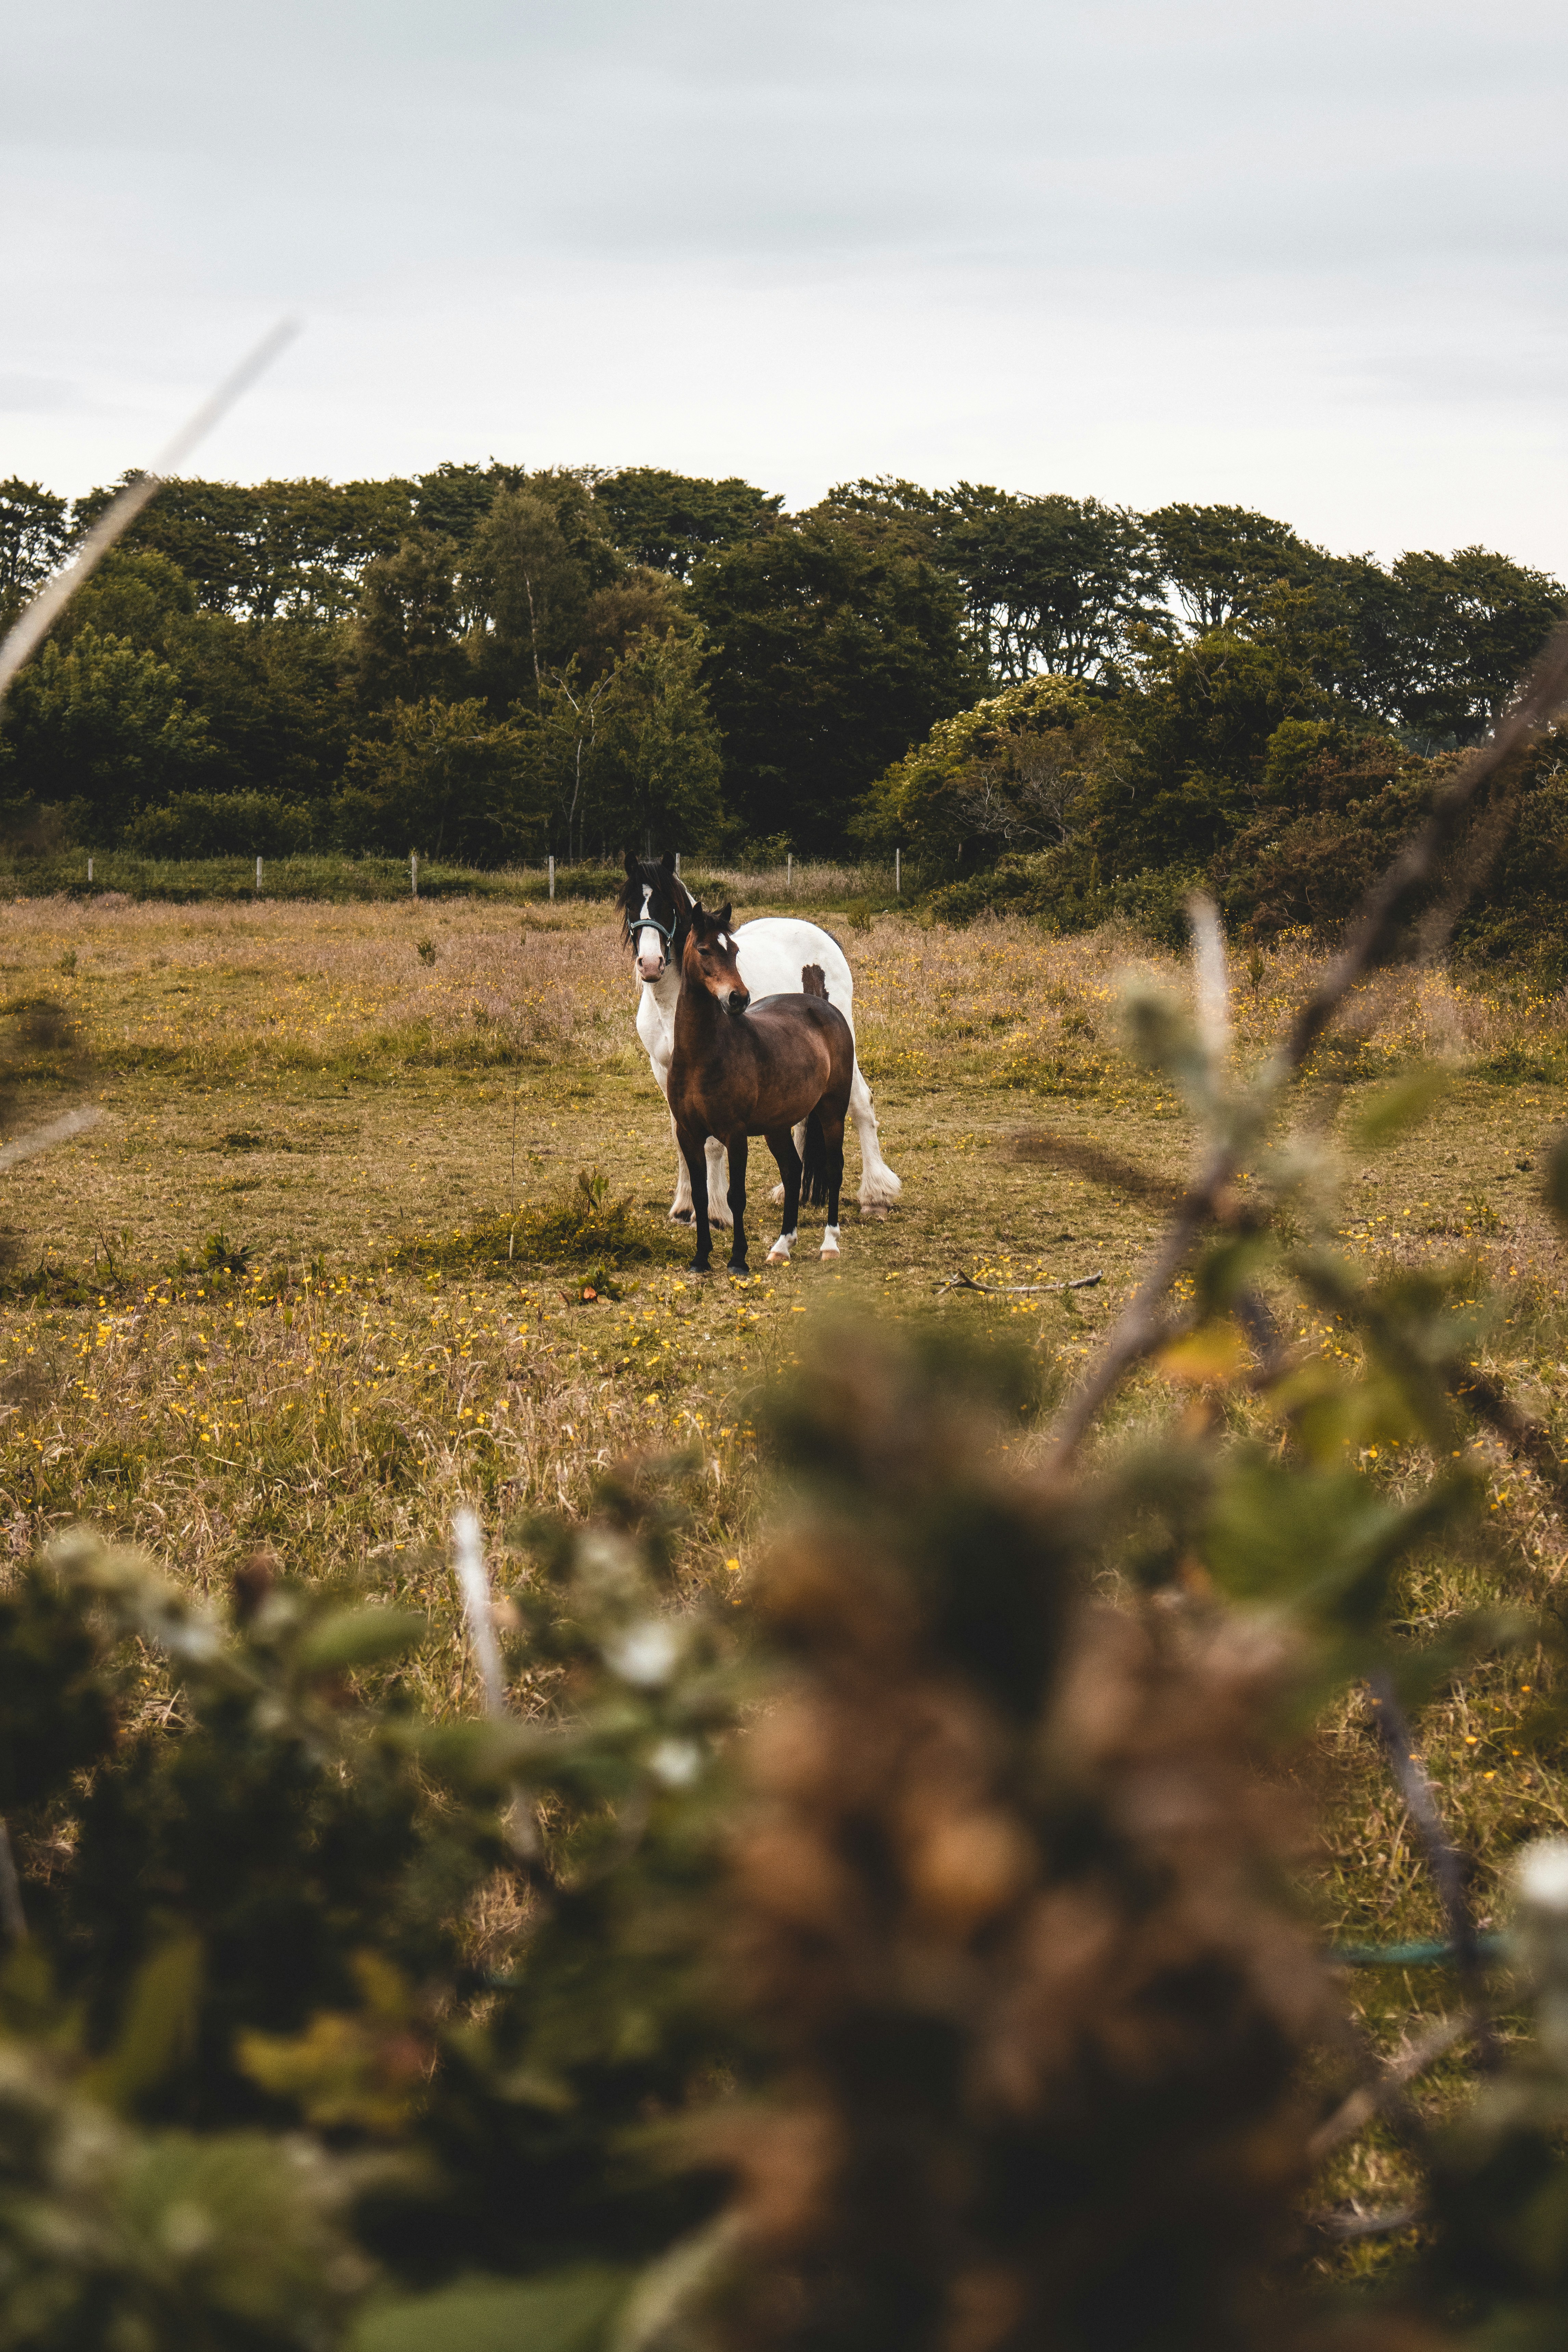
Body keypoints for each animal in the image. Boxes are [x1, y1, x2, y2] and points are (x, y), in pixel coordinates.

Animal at [616, 851, 900, 1228]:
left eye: (667, 906)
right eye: (632, 904)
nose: (651, 964)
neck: (672, 1004)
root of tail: (824, 937)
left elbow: (712, 1144)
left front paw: (716, 1213)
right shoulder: (665, 1072)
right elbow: (681, 1137)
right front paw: (685, 1207)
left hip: (843, 1050)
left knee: (861, 1102)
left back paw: (876, 1196)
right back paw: (793, 1191)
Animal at [668, 900, 854, 1274]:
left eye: (735, 950)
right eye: (704, 950)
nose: (738, 998)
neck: (701, 1056)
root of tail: (826, 1008)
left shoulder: (735, 1134)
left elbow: (735, 1196)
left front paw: (738, 1260)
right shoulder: (689, 1133)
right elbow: (700, 1195)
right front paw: (701, 1259)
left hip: (831, 1113)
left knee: (834, 1168)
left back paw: (830, 1244)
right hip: (777, 1126)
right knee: (793, 1171)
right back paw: (782, 1246)